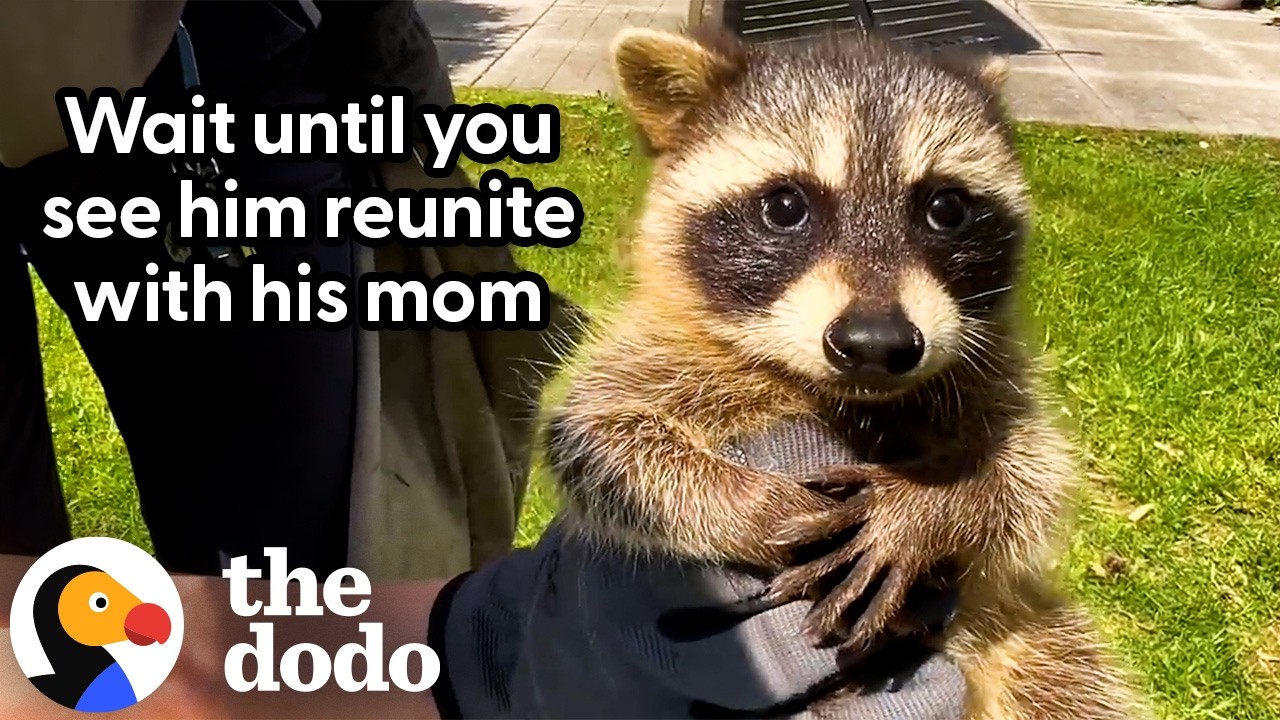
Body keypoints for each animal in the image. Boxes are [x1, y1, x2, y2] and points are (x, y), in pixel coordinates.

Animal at [543, 24, 1149, 719]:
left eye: (946, 207)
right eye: (785, 206)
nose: (876, 344)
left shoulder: (994, 374)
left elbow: (1033, 473)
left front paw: (941, 502)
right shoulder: (653, 352)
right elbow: (595, 440)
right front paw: (754, 505)